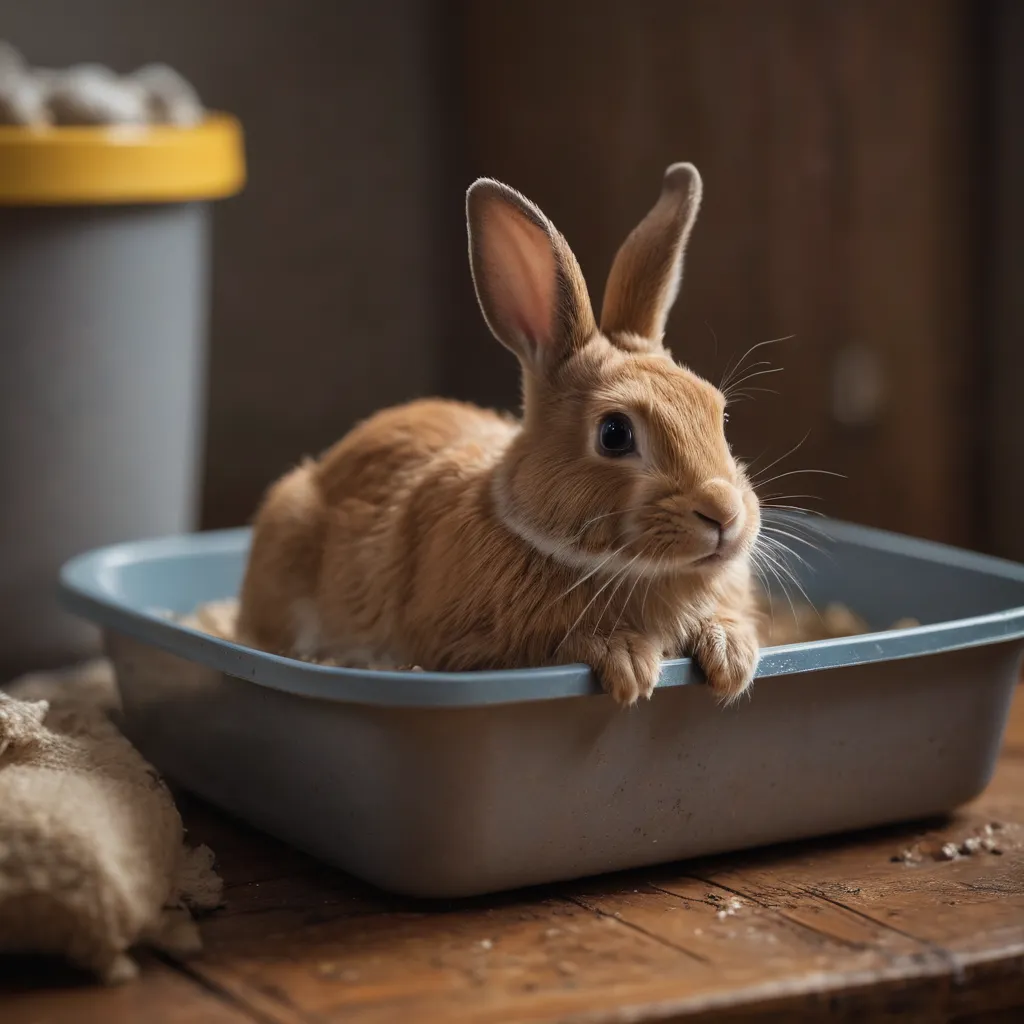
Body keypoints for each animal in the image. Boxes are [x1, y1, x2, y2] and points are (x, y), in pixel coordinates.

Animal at [237, 162, 762, 705]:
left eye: (719, 416)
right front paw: (626, 659)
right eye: (615, 434)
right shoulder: (465, 649)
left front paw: (732, 654)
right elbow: (552, 646)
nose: (724, 514)